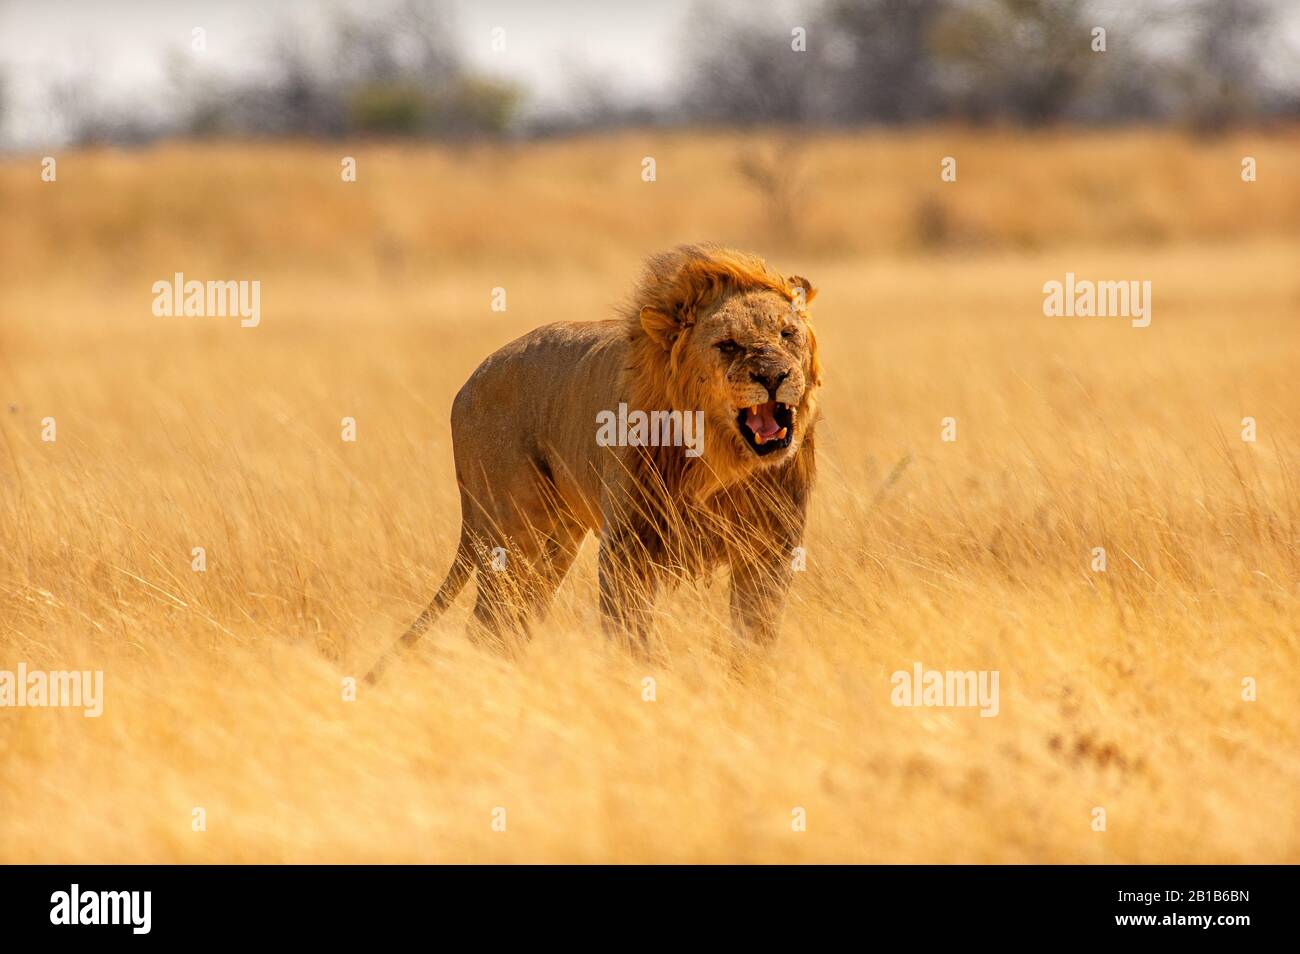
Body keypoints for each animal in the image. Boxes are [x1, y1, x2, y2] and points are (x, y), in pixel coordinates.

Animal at [367, 244, 820, 680]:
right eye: (727, 345)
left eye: (787, 334)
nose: (774, 376)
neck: (720, 459)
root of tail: (467, 384)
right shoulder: (628, 547)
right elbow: (631, 634)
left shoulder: (771, 548)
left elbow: (755, 636)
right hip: (512, 531)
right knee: (488, 623)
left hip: (555, 542)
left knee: (516, 620)